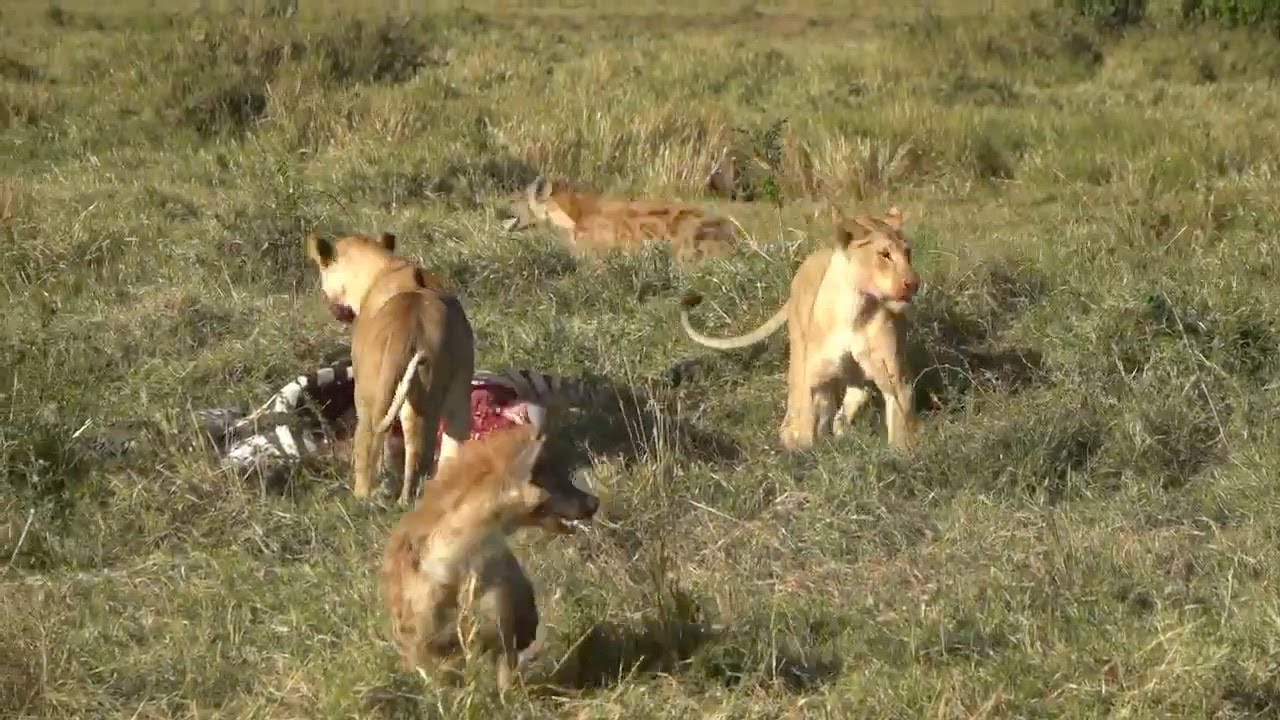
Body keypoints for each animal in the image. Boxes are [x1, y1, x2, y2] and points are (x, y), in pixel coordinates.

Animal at [305, 231, 476, 503]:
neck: (385, 267)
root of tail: (412, 327)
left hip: (372, 398)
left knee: (375, 449)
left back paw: (365, 499)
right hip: (448, 400)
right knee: (437, 455)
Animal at [679, 207, 922, 451]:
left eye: (908, 252)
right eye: (884, 254)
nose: (913, 283)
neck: (856, 309)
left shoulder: (896, 379)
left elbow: (901, 426)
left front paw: (901, 453)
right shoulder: (816, 377)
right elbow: (809, 424)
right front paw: (806, 451)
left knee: (848, 405)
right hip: (800, 354)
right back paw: (790, 437)